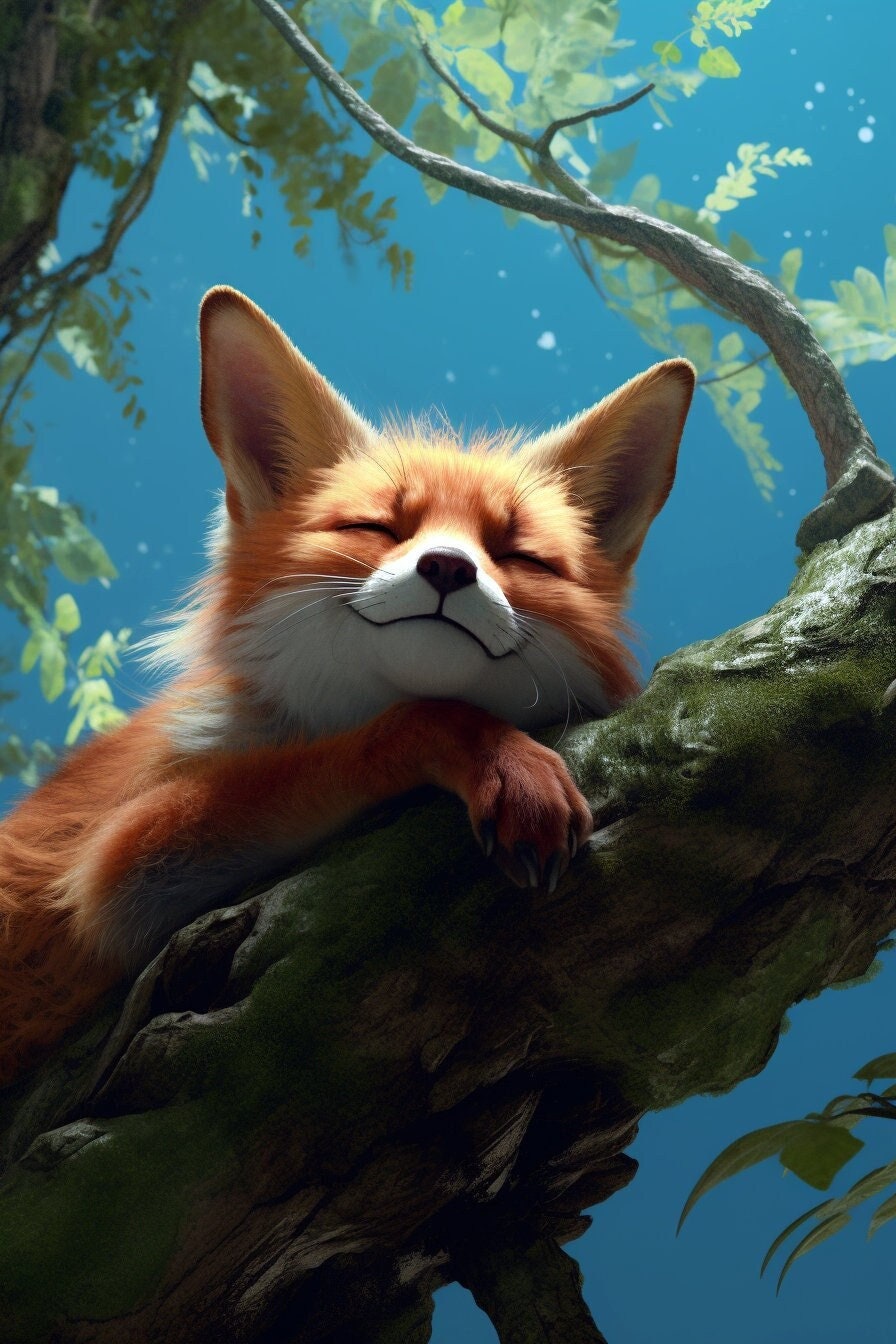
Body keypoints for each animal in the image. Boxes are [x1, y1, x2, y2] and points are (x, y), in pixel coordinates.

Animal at [0, 286, 695, 1087]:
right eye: (378, 527)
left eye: (520, 556)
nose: (450, 568)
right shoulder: (123, 869)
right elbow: (413, 720)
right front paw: (500, 758)